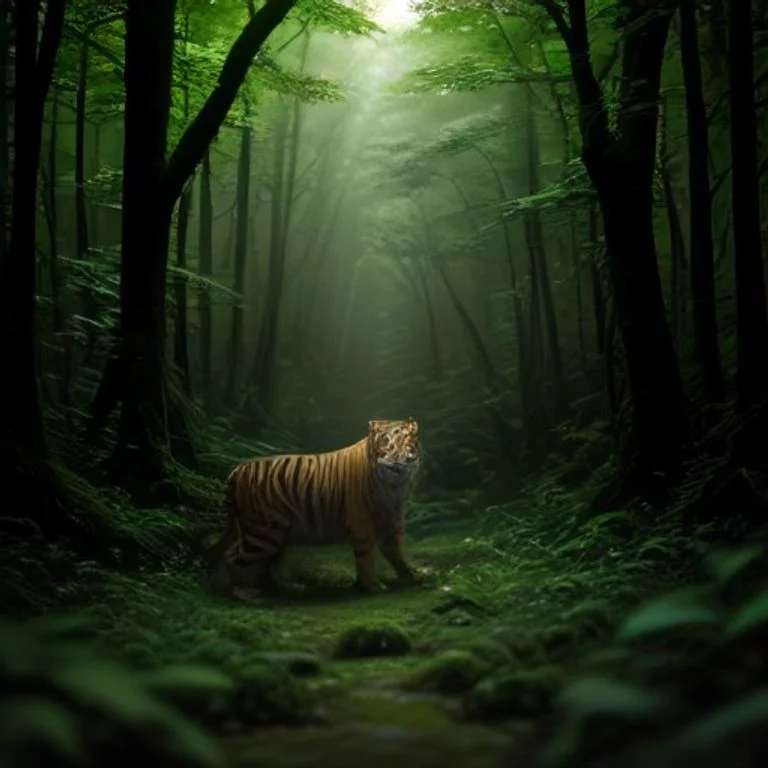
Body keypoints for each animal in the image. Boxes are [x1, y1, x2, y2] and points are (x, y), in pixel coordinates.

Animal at [206, 418, 423, 602]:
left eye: (410, 439)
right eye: (386, 441)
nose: (406, 457)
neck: (393, 487)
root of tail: (237, 470)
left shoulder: (392, 523)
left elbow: (399, 555)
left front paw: (414, 577)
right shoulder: (362, 527)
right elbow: (366, 561)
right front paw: (374, 587)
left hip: (270, 532)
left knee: (262, 563)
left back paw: (285, 589)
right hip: (264, 531)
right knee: (232, 558)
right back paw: (241, 594)